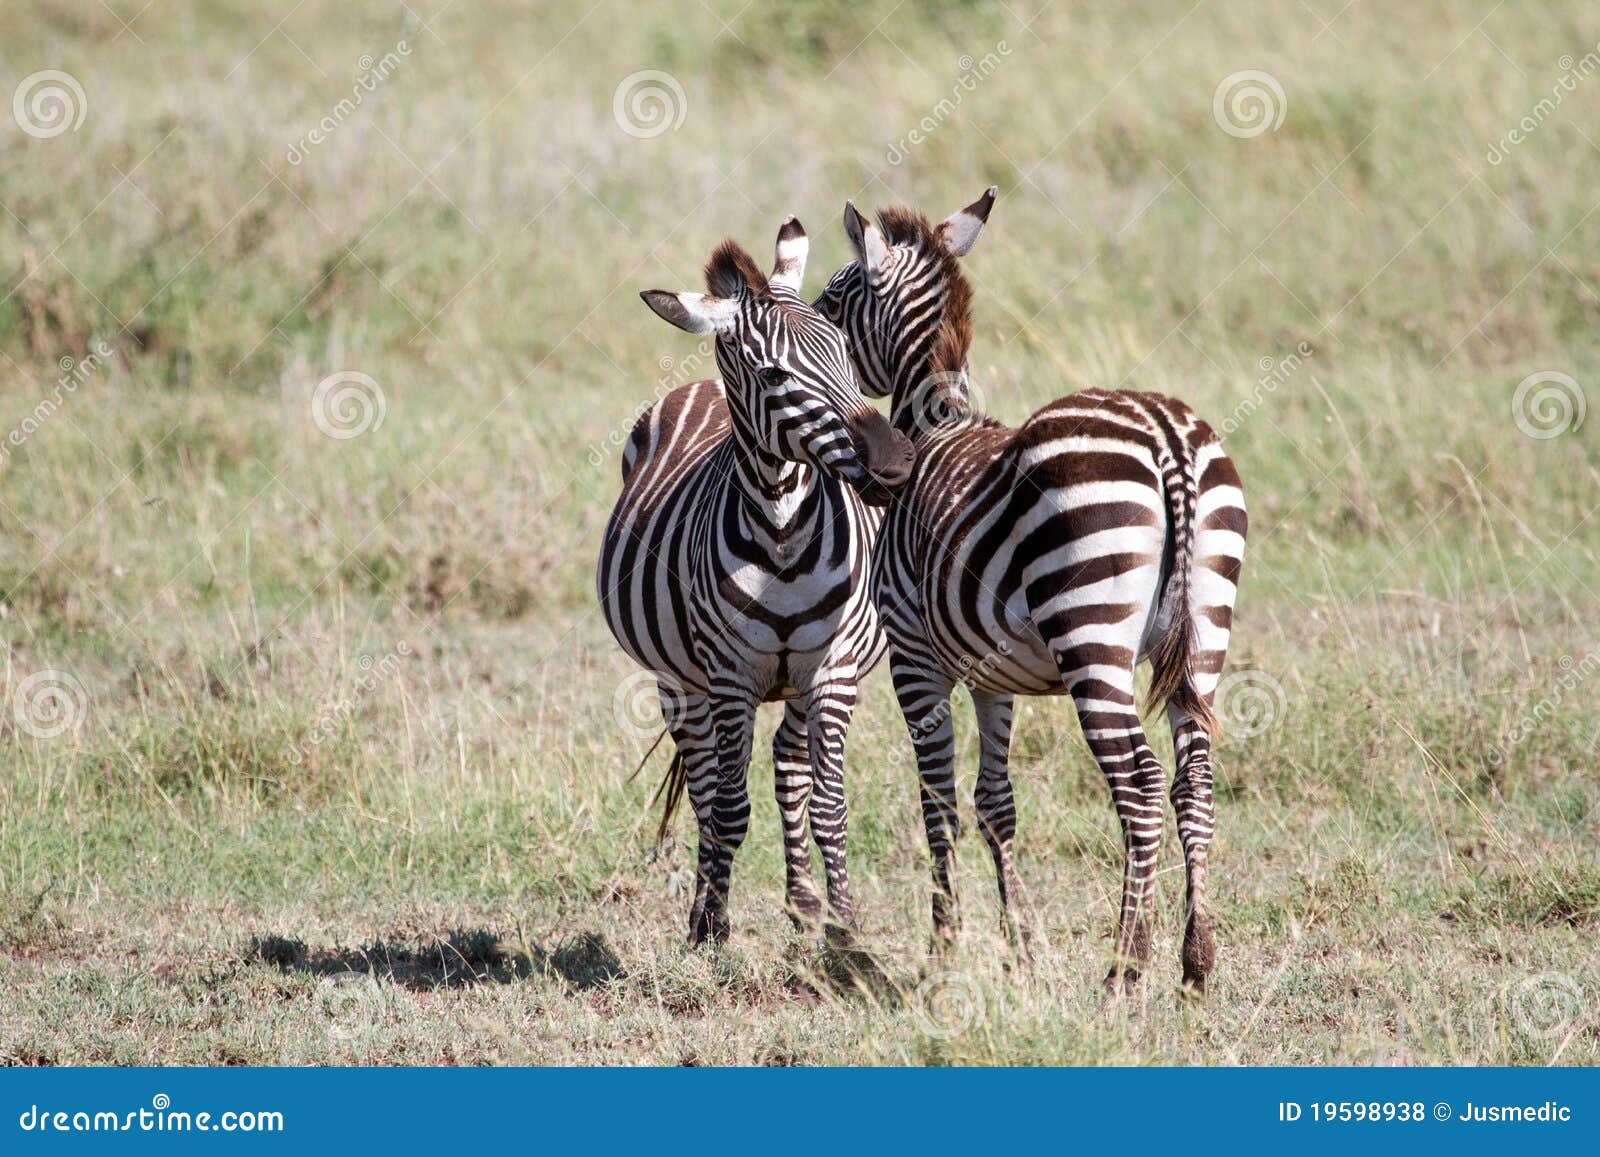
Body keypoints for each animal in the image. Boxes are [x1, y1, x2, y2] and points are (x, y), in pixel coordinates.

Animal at [596, 217, 915, 947]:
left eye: (845, 352)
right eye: (773, 374)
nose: (896, 462)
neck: (783, 534)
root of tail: (700, 387)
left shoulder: (832, 670)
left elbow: (826, 803)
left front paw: (844, 928)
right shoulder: (729, 675)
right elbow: (728, 807)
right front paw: (713, 926)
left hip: (793, 680)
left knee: (787, 770)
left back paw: (803, 904)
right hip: (679, 682)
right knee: (707, 785)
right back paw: (705, 907)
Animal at [814, 190, 1247, 994]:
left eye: (829, 304)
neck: (936, 427)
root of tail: (1165, 434)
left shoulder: (914, 658)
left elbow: (938, 802)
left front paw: (942, 953)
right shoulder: (993, 674)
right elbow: (995, 805)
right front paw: (1020, 950)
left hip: (1092, 637)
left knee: (1140, 785)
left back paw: (1125, 965)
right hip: (1206, 632)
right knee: (1194, 780)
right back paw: (1196, 960)